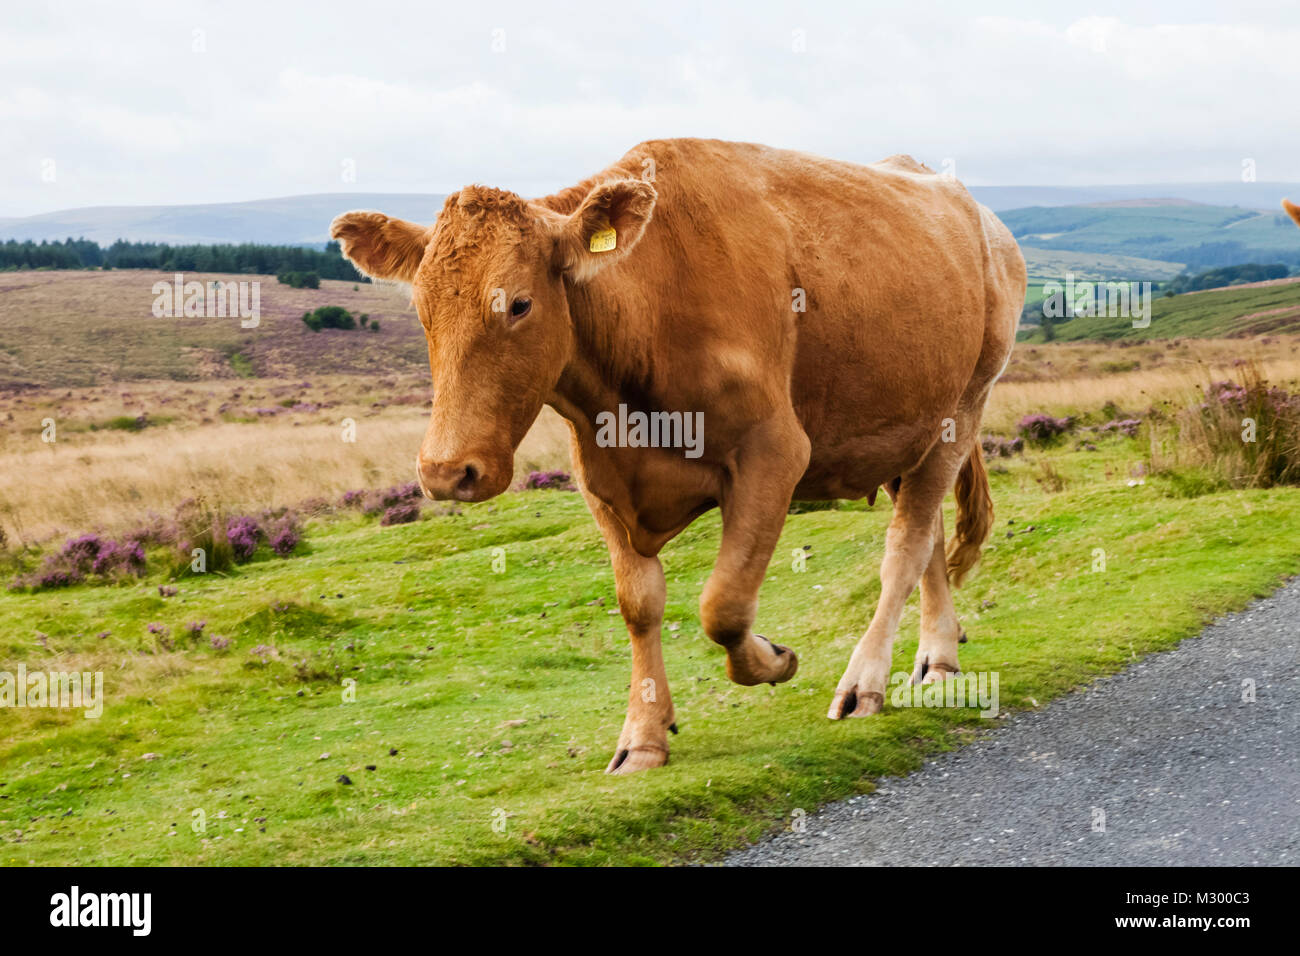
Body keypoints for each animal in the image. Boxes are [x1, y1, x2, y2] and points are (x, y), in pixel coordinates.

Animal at [331, 138, 1026, 774]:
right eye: (422, 311)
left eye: (520, 303)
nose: (447, 472)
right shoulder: (601, 480)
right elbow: (639, 605)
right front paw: (642, 737)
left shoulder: (776, 452)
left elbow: (724, 605)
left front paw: (773, 659)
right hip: (901, 429)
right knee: (927, 534)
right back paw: (937, 657)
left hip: (962, 408)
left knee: (905, 546)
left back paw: (865, 682)